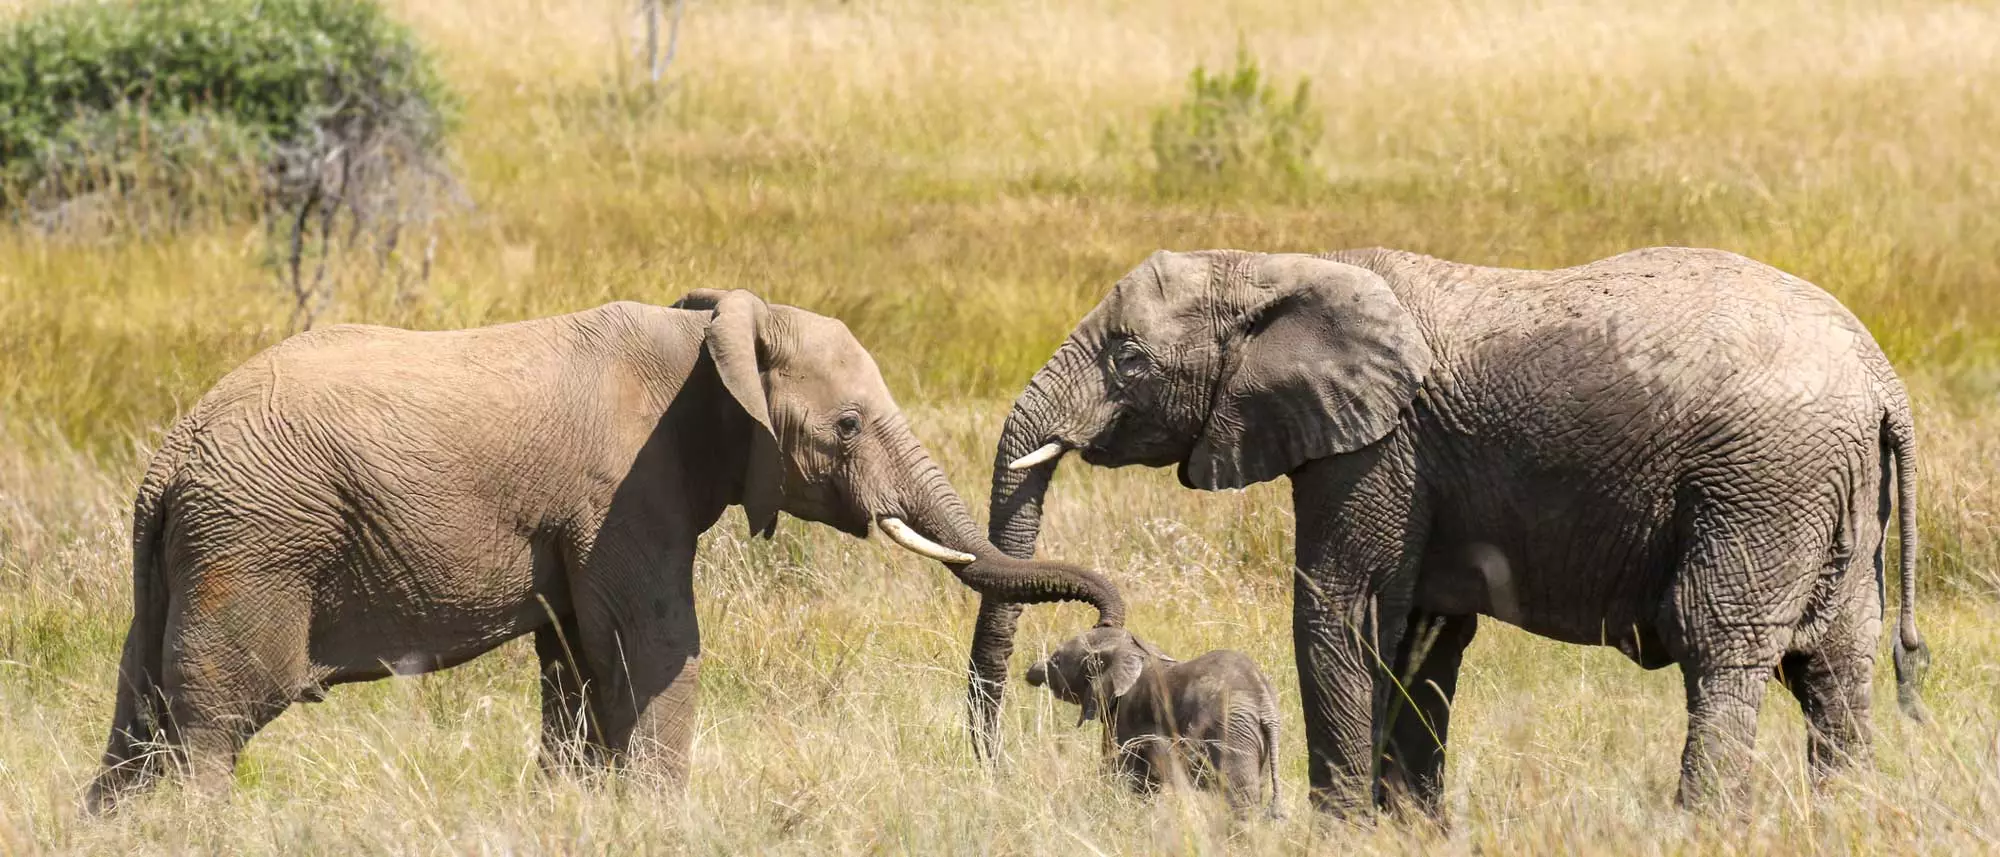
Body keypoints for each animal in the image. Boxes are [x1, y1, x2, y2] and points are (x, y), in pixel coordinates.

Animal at [82, 286, 1128, 808]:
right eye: (847, 425)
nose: (1097, 647)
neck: (707, 333)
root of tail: (166, 459)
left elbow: (579, 654)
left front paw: (576, 809)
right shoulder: (624, 492)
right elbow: (658, 642)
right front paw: (661, 817)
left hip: (185, 557)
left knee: (141, 720)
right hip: (252, 542)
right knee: (213, 723)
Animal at [1032, 620, 1280, 816]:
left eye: (1056, 660)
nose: (1031, 672)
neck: (1136, 651)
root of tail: (1264, 704)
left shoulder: (1128, 712)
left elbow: (1124, 771)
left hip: (1231, 732)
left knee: (1239, 798)